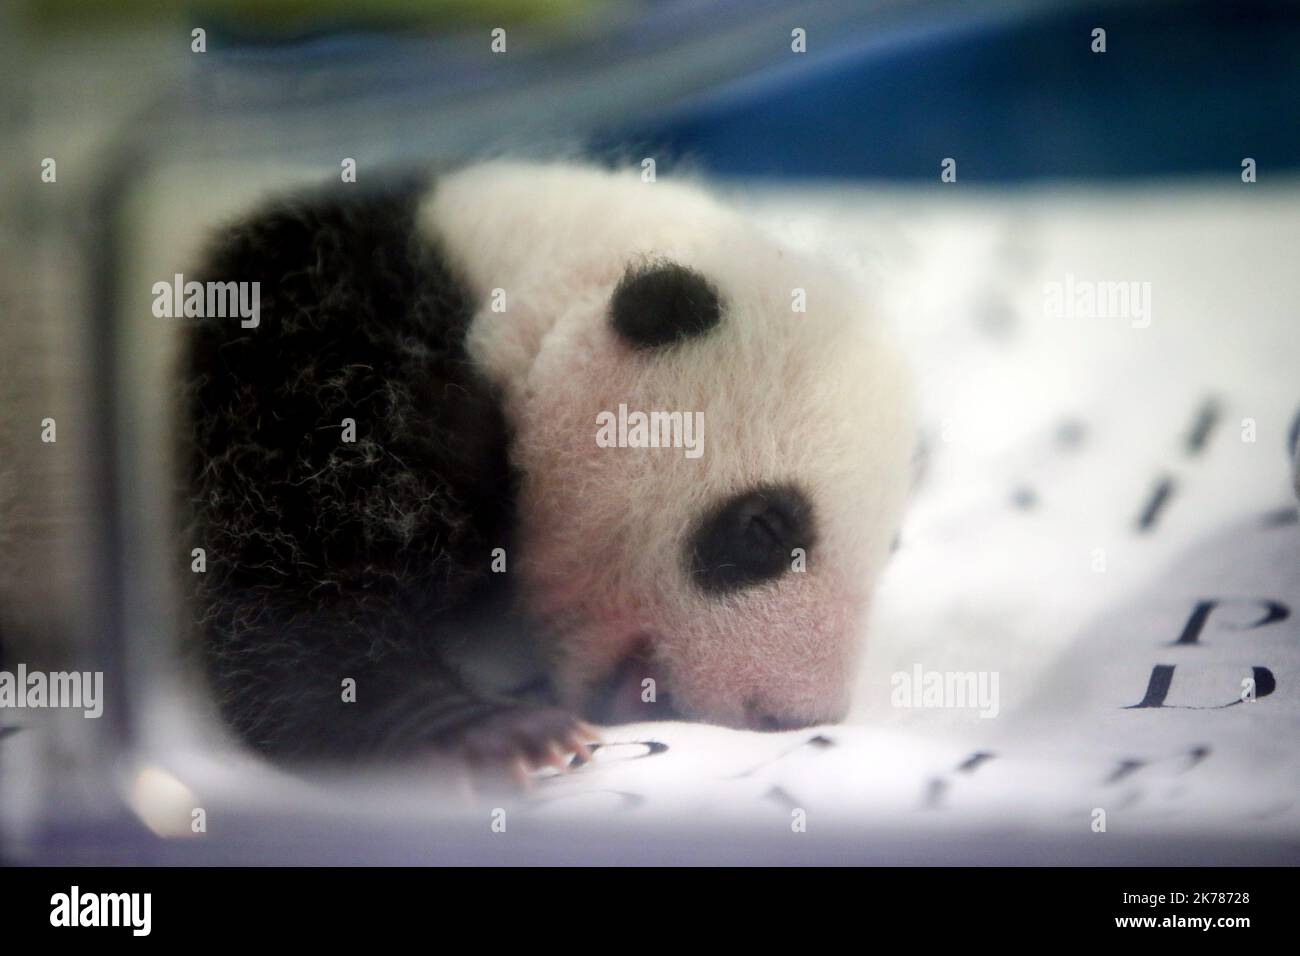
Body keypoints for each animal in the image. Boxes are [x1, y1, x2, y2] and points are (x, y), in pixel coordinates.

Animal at [183, 161, 916, 777]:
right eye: (763, 529)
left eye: (889, 551)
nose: (791, 715)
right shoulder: (304, 337)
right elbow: (283, 568)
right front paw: (489, 732)